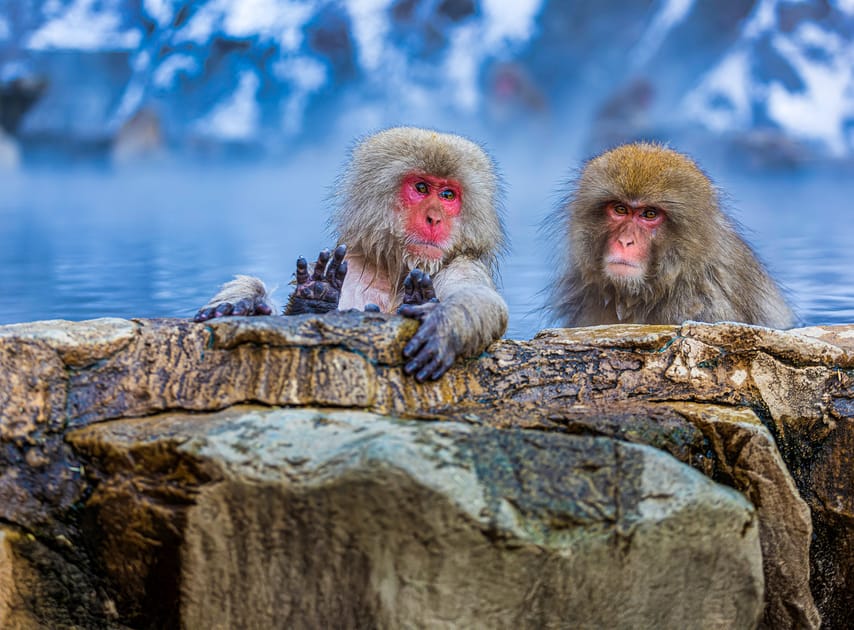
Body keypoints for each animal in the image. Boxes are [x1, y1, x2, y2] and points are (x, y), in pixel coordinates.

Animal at [195, 127, 509, 381]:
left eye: (447, 195)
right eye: (421, 188)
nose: (435, 219)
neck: (398, 268)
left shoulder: (462, 262)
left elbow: (484, 300)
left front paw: (445, 321)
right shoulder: (351, 261)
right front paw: (295, 300)